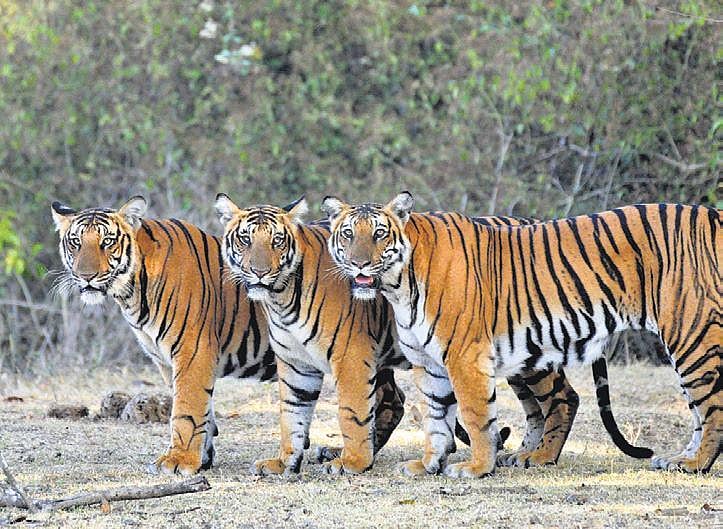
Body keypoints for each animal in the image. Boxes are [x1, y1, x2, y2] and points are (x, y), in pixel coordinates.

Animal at [50, 196, 407, 475]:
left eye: (107, 241)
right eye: (75, 242)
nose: (86, 276)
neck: (131, 292)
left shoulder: (192, 352)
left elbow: (186, 408)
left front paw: (179, 460)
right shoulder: (166, 362)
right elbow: (201, 410)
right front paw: (202, 458)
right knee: (393, 400)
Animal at [214, 194, 644, 474]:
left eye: (277, 241)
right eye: (245, 240)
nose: (258, 272)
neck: (281, 298)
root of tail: (526, 222)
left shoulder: (351, 356)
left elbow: (351, 411)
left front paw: (353, 462)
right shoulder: (296, 366)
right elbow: (292, 415)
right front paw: (285, 461)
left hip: (531, 353)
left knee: (563, 397)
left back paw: (539, 457)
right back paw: (517, 453)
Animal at [323, 193, 720, 476]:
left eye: (379, 233)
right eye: (348, 234)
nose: (359, 263)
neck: (398, 286)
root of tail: (711, 215)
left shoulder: (465, 356)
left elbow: (475, 415)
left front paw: (476, 468)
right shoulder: (428, 362)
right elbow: (435, 417)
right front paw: (427, 465)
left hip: (691, 334)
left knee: (711, 406)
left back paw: (695, 464)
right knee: (695, 410)